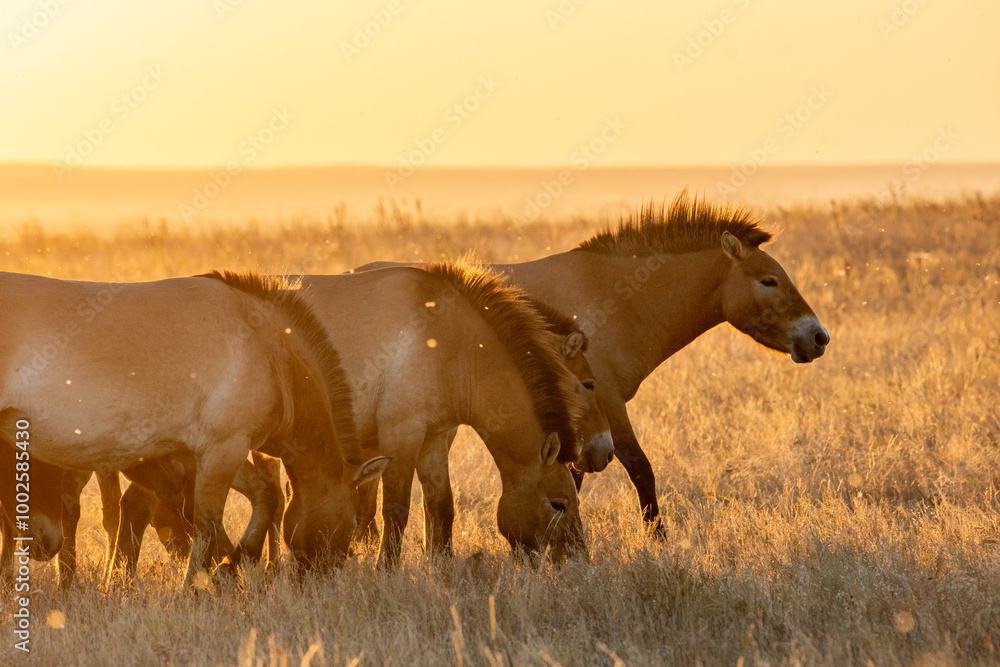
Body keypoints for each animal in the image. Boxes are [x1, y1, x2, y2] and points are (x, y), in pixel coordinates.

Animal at [0, 270, 387, 588]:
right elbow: (207, 522)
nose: (324, 577)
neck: (267, 349)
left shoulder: (203, 453)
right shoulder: (224, 449)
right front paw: (196, 587)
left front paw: (235, 562)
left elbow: (265, 495)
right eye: (354, 521)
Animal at [355, 192, 830, 536]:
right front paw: (658, 540)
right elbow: (640, 469)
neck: (618, 298)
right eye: (769, 280)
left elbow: (578, 476)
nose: (818, 337)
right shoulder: (606, 404)